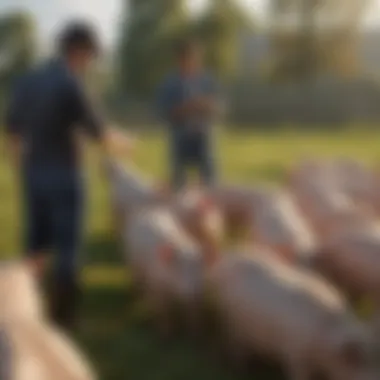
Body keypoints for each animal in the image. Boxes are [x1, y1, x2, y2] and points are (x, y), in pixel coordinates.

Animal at [208, 249, 378, 380]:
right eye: (358, 364)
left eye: (375, 361)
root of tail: (228, 260)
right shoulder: (295, 356)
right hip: (230, 320)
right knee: (234, 345)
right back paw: (241, 370)